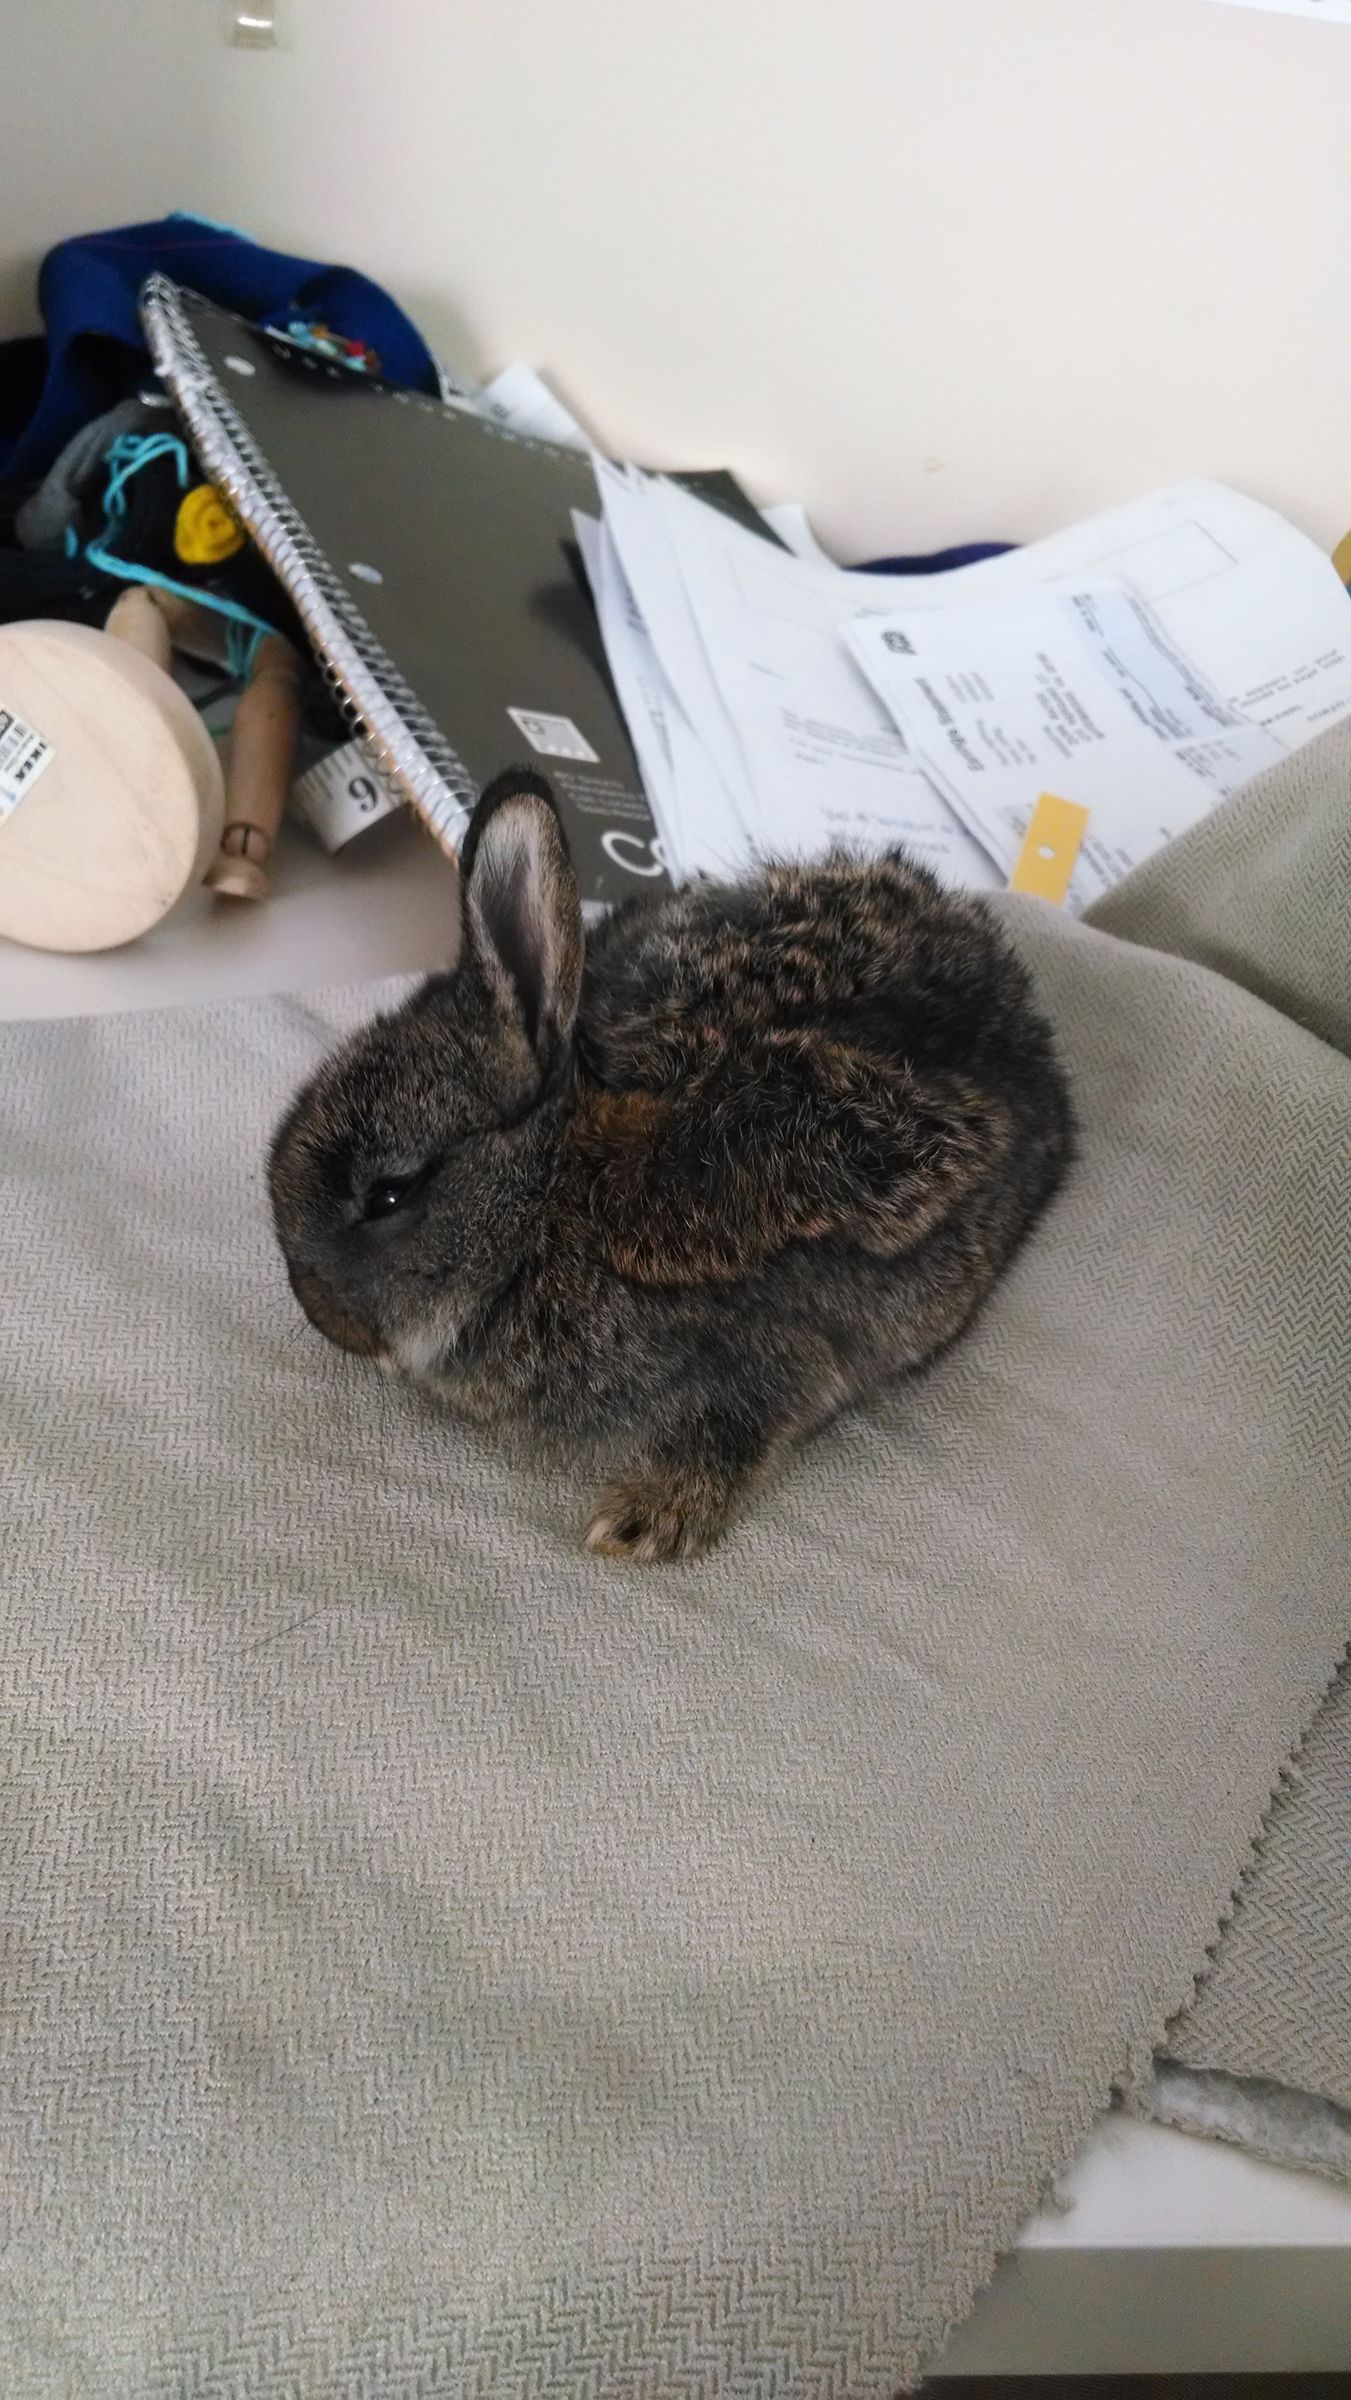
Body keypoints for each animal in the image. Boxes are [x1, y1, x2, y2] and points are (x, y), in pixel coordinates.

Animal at [269, 768, 1073, 1562]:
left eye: (390, 1195)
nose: (324, 1319)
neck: (544, 1202)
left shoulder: (778, 1350)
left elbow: (747, 1424)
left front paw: (643, 1520)